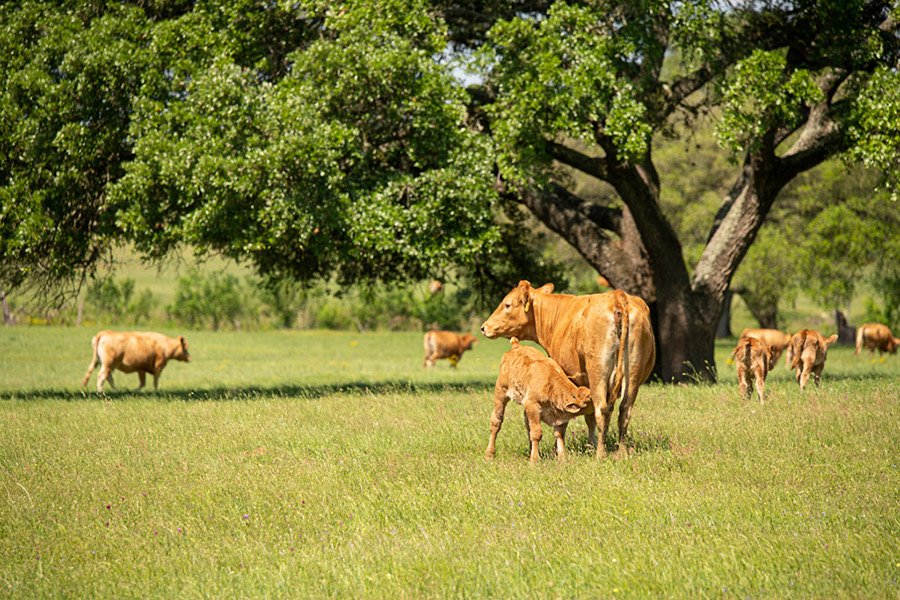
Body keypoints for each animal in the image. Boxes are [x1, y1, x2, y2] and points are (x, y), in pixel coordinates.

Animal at [481, 281, 655, 458]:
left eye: (507, 304)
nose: (484, 327)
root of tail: (618, 297)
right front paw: (589, 445)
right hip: (633, 375)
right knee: (624, 411)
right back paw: (622, 451)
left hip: (598, 373)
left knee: (601, 409)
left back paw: (600, 453)